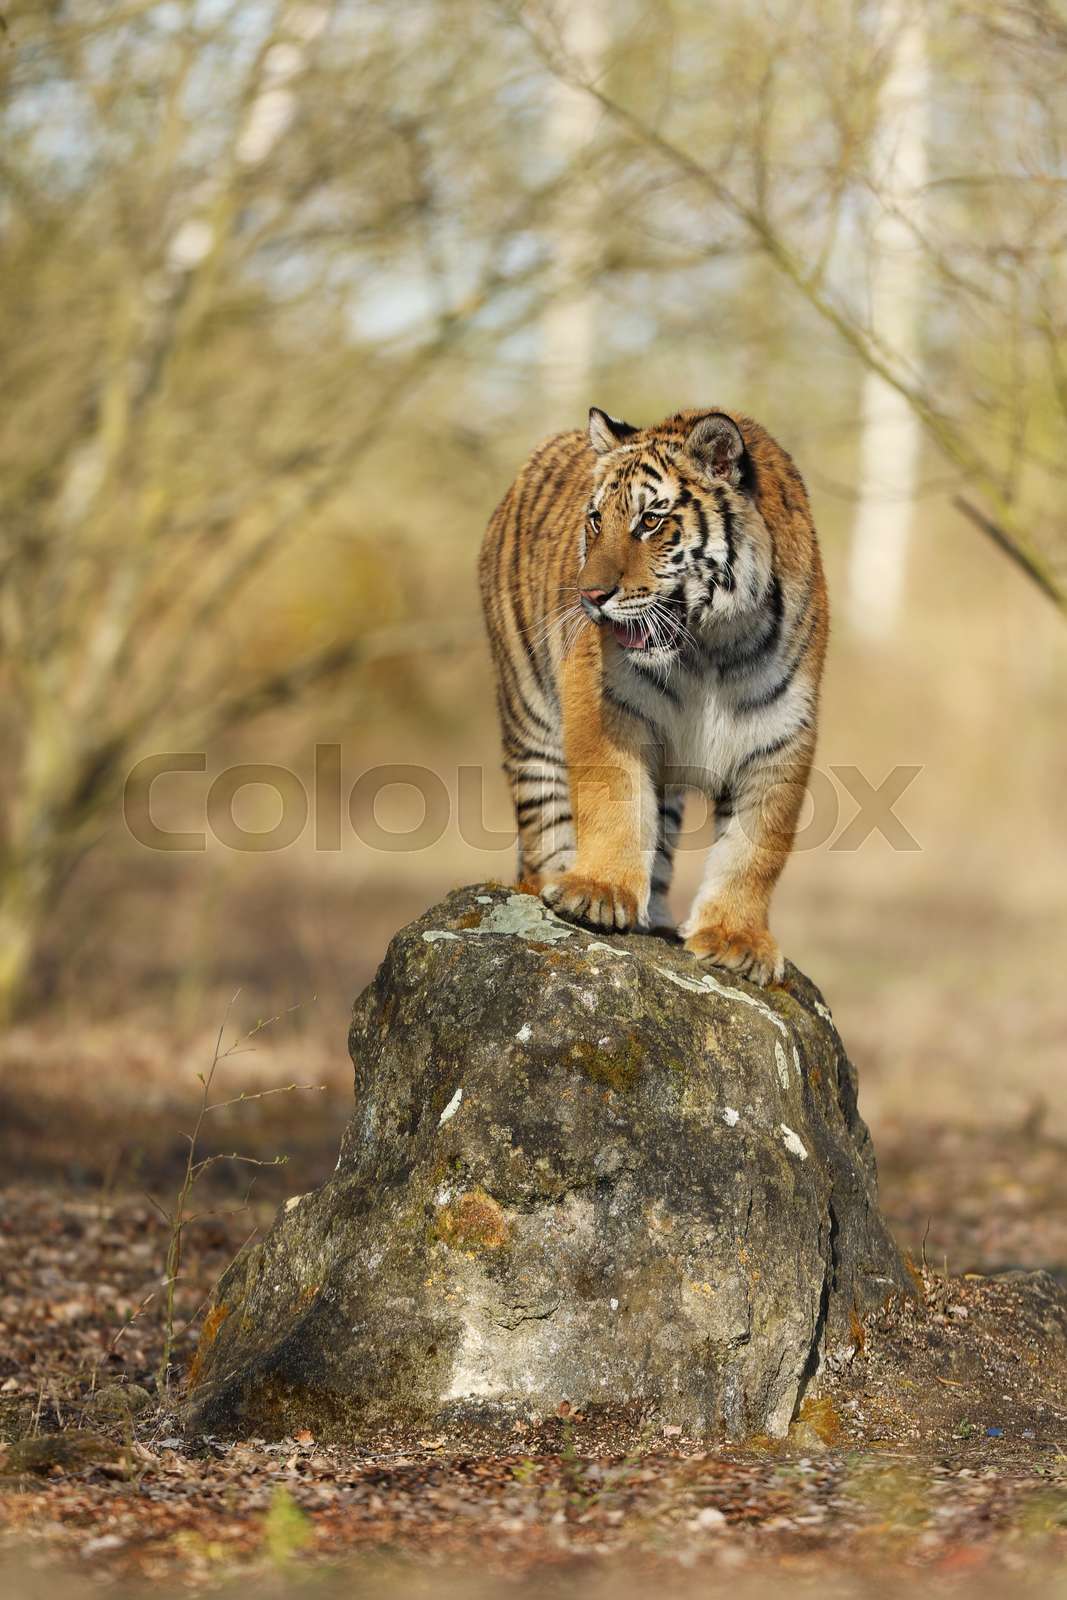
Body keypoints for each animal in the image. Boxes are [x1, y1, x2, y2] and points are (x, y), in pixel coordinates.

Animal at [477, 405, 828, 986]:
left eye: (650, 521)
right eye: (596, 520)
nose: (590, 596)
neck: (710, 650)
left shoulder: (780, 736)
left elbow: (756, 847)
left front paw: (735, 938)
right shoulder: (608, 709)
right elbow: (614, 803)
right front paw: (598, 892)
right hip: (528, 708)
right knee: (544, 814)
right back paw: (550, 882)